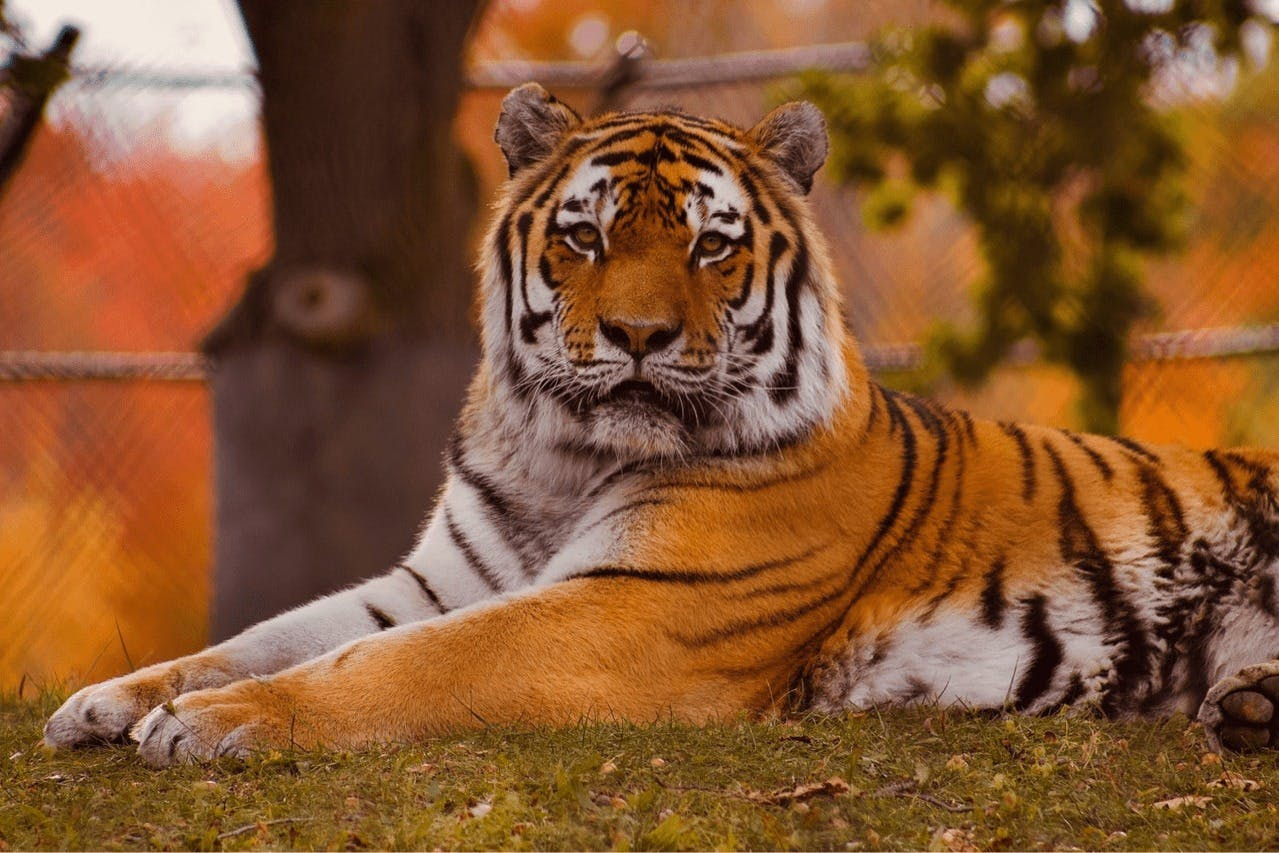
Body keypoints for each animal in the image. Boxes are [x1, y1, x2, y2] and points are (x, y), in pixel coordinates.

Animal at [45, 83, 1279, 767]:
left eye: (709, 244)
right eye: (585, 236)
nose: (637, 334)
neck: (559, 460)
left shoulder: (634, 610)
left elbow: (393, 662)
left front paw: (212, 722)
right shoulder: (438, 578)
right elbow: (268, 632)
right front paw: (111, 698)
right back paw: (1246, 707)